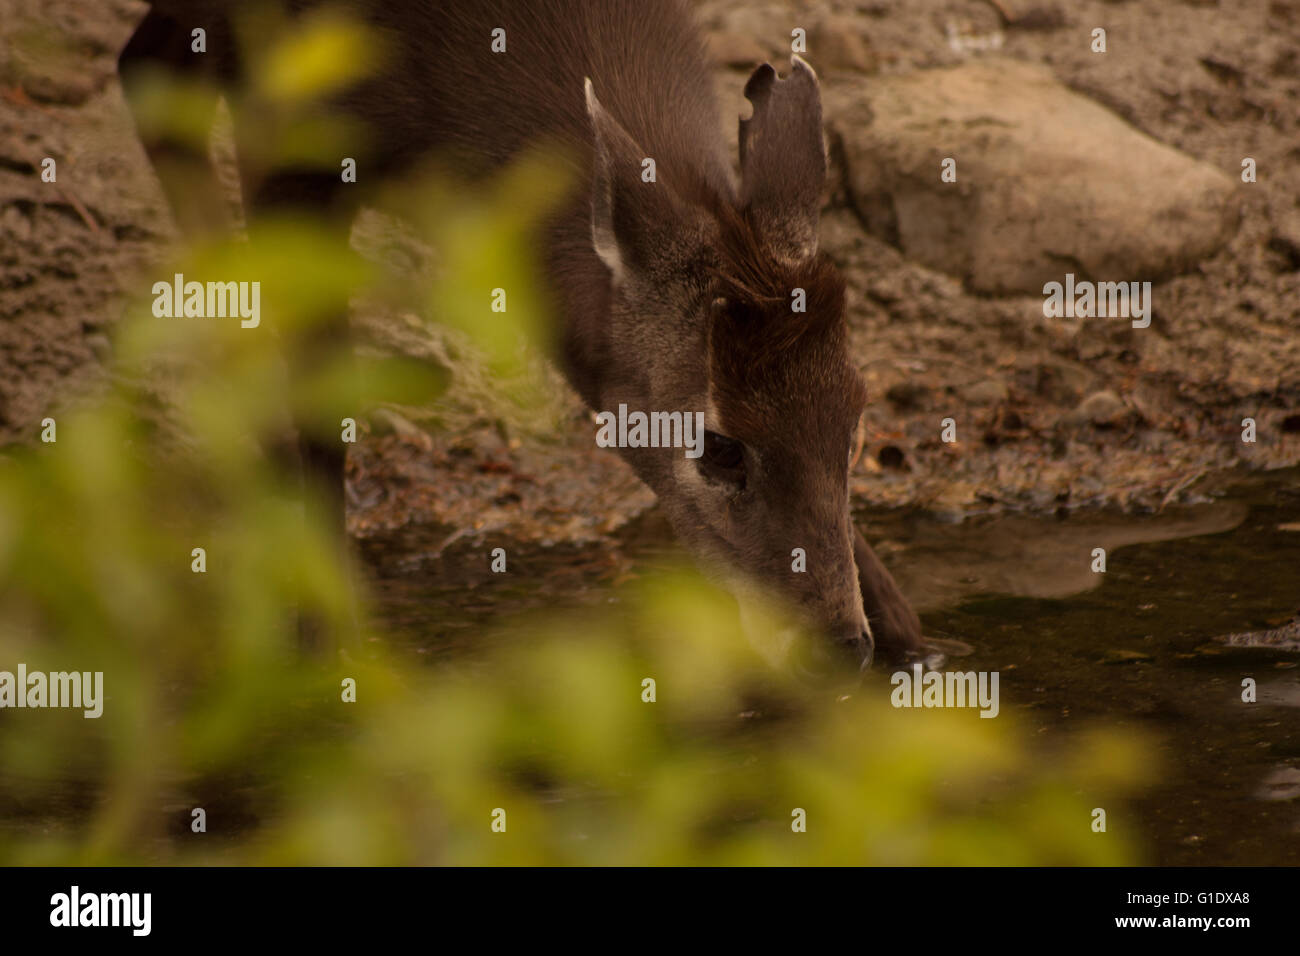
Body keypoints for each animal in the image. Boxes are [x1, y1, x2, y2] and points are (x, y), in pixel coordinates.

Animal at [118, 0, 926, 677]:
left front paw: (910, 633)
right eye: (717, 444)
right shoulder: (295, 125)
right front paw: (329, 648)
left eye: (856, 415)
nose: (840, 647)